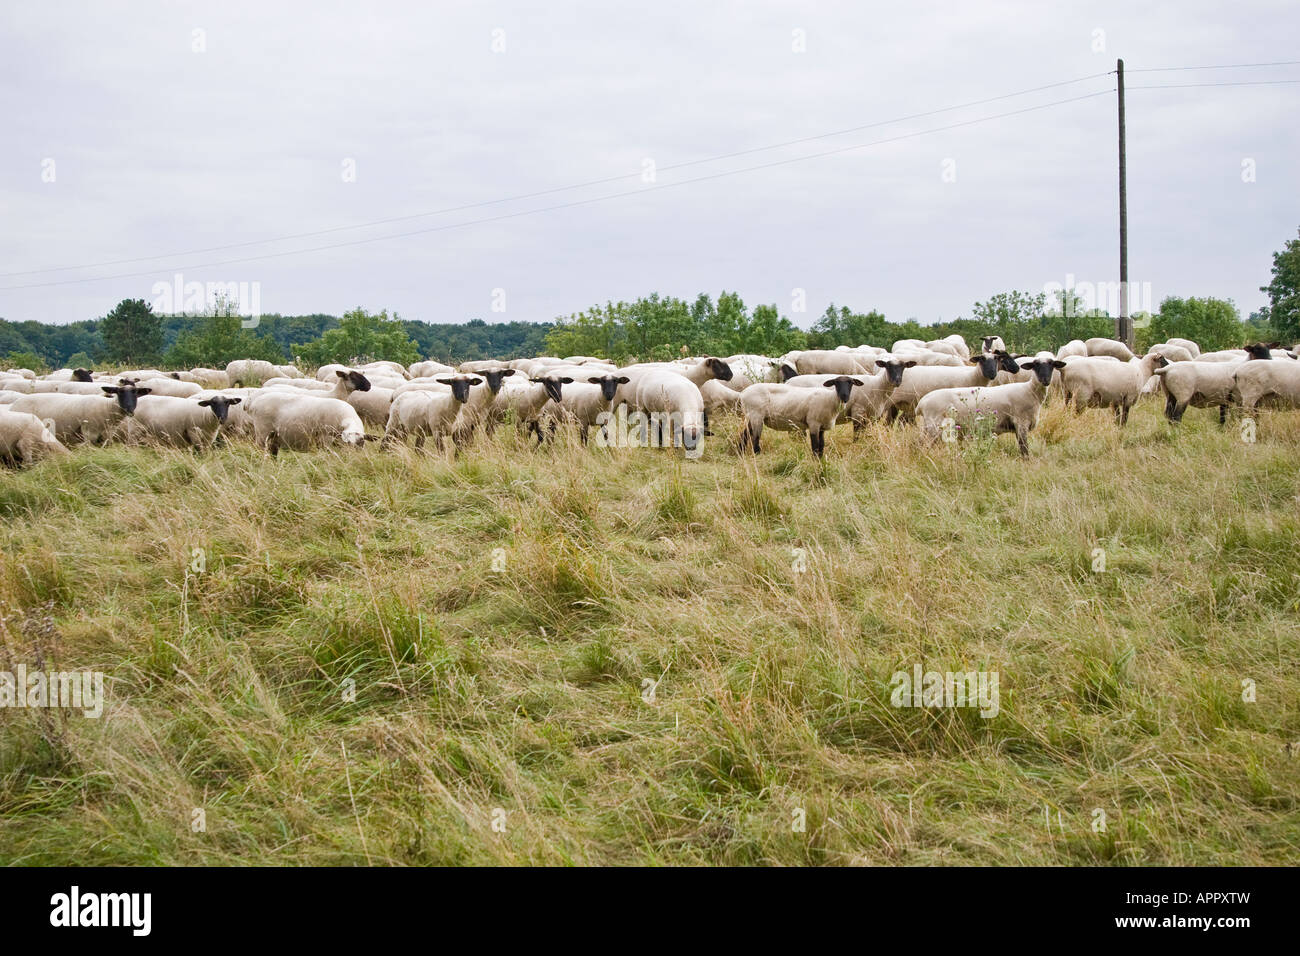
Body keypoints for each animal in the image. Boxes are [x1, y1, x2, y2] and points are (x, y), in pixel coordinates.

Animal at [11, 381, 153, 445]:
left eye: (136, 393)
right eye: (120, 392)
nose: (130, 410)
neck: (107, 408)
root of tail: (13, 405)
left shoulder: (107, 436)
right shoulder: (89, 433)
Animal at [916, 352, 1064, 455]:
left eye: (1052, 365)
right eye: (1035, 365)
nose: (1045, 380)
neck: (1030, 391)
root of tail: (922, 403)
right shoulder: (1021, 423)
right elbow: (1024, 450)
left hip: (928, 427)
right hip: (935, 427)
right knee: (924, 445)